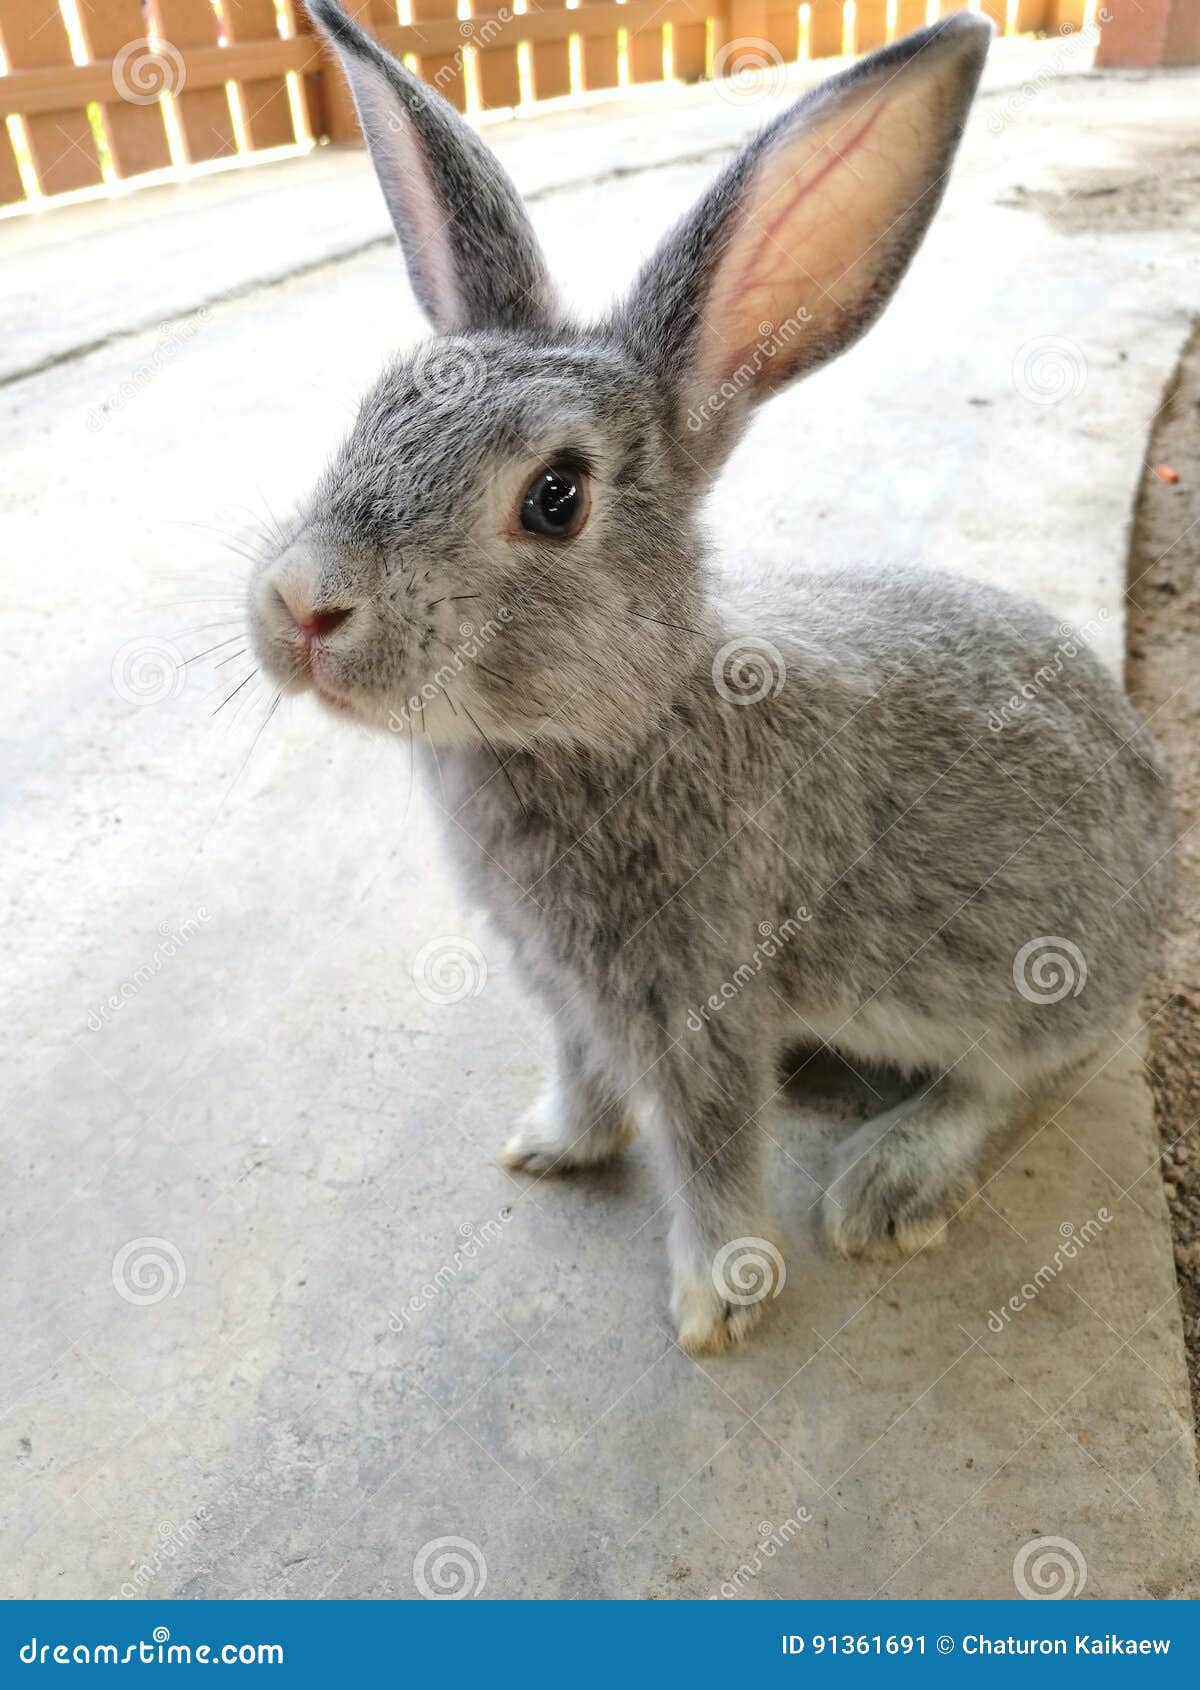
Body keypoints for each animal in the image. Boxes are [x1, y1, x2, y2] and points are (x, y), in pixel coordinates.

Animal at [247, 1, 1172, 1355]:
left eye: (556, 497)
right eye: (376, 408)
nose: (303, 605)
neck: (627, 716)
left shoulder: (702, 994)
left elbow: (712, 1143)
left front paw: (719, 1303)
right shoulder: (565, 987)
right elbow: (584, 1075)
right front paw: (554, 1146)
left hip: (1030, 981)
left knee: (1039, 1071)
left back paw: (893, 1180)